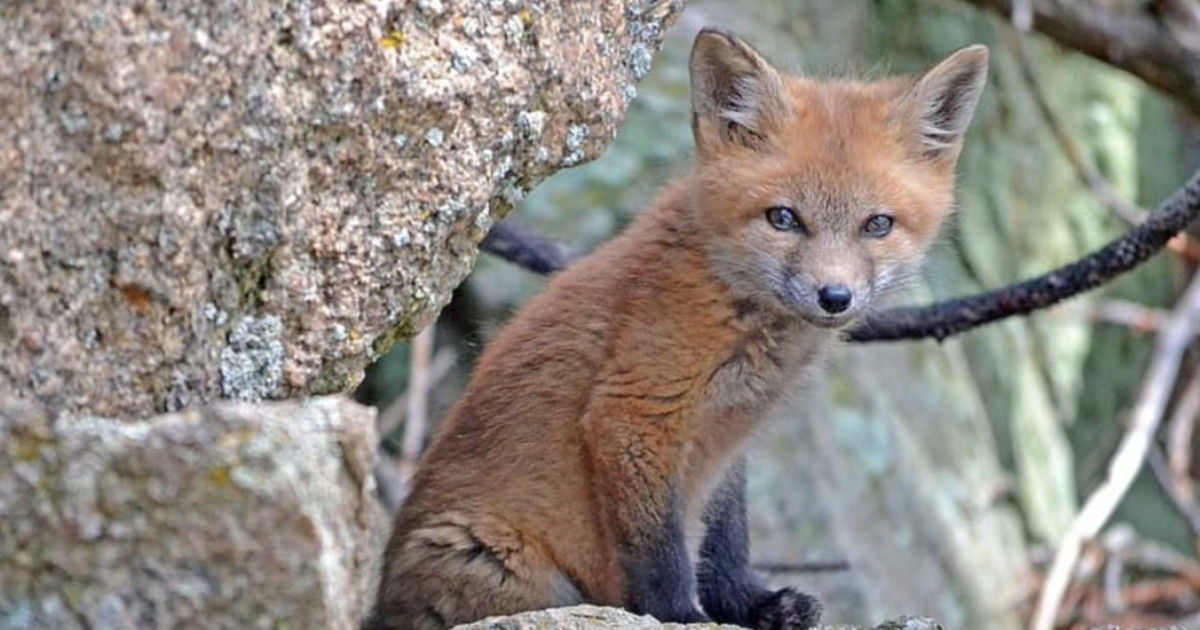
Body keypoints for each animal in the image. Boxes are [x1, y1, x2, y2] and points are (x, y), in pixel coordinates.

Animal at [365, 28, 989, 630]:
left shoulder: (728, 438)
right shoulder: (636, 412)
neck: (733, 301)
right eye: (783, 218)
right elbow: (660, 552)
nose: (834, 297)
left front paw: (751, 606)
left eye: (877, 225)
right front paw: (678, 616)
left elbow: (725, 542)